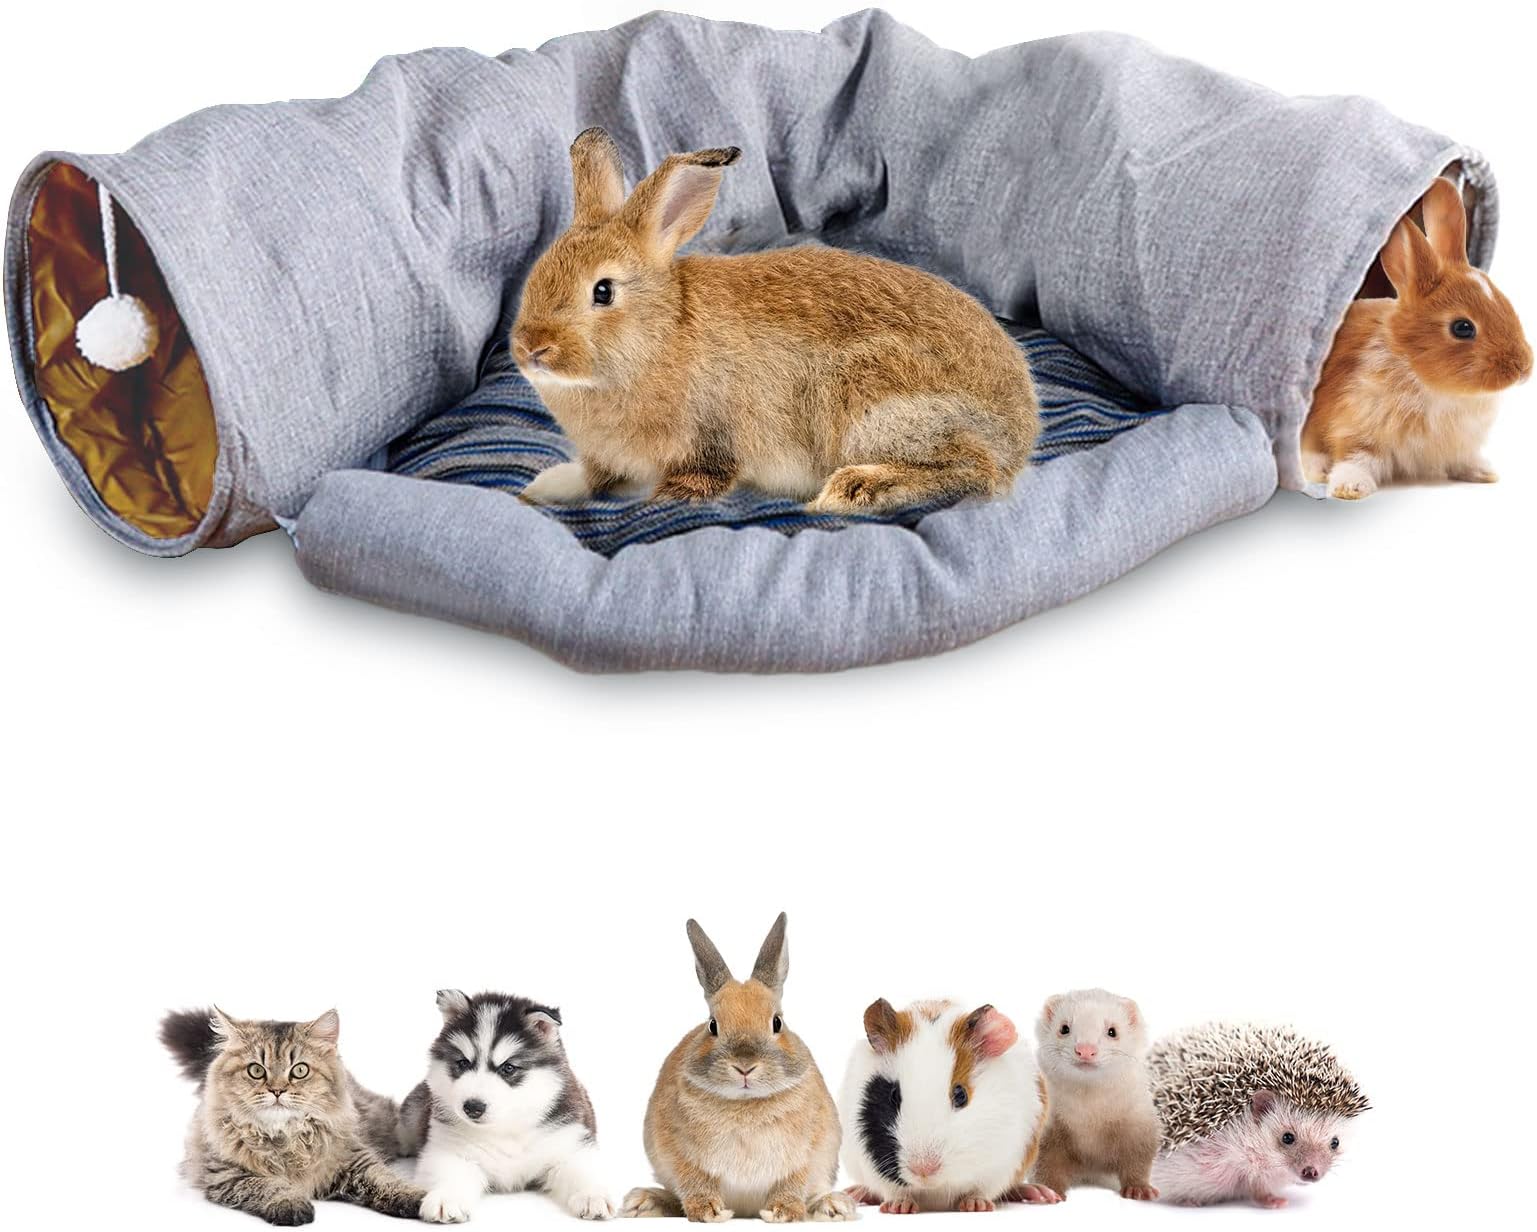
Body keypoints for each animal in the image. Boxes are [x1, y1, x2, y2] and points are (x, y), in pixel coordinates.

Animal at [512, 128, 1038, 515]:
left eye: (603, 291)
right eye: (536, 275)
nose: (531, 348)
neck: (658, 336)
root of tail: (1021, 428)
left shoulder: (708, 446)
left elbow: (684, 489)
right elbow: (591, 477)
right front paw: (539, 489)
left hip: (869, 401)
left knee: (976, 469)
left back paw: (850, 492)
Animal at [620, 913, 853, 1223]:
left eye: (777, 1022)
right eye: (712, 1025)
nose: (745, 1066)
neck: (745, 1104)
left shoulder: (806, 1155)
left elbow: (792, 1184)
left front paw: (783, 1212)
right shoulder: (678, 1153)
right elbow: (694, 1182)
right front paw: (708, 1211)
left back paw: (834, 1205)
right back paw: (644, 1202)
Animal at [839, 998, 1060, 1214]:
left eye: (960, 1094)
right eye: (894, 1096)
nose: (923, 1169)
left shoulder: (1002, 1164)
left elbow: (982, 1190)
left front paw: (975, 1205)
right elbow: (894, 1192)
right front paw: (898, 1207)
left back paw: (1042, 1194)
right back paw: (855, 1194)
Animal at [1303, 176, 1532, 500]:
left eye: (1505, 303)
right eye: (1463, 328)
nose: (1523, 368)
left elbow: (1463, 459)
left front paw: (1484, 473)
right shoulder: (1357, 426)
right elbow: (1355, 457)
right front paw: (1350, 488)